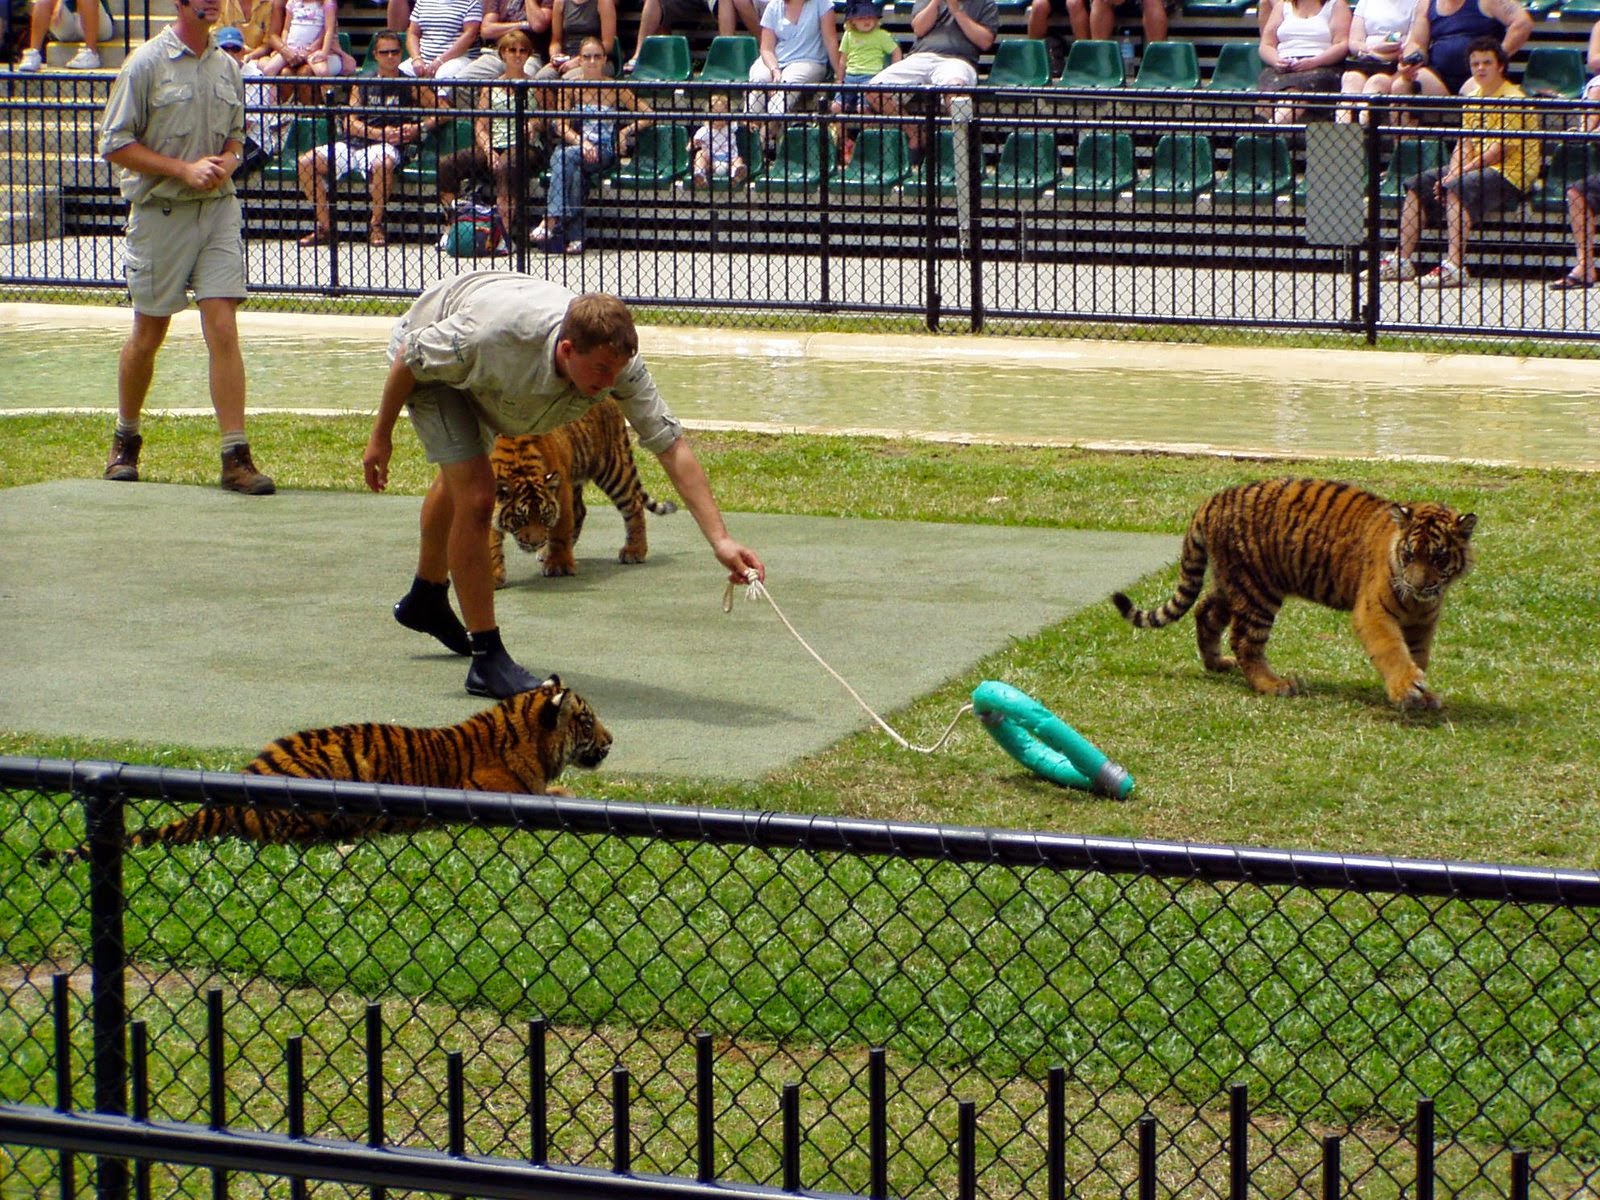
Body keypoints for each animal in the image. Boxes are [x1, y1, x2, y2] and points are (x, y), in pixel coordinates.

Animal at [490, 398, 677, 588]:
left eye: (544, 517)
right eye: (521, 519)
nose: (536, 542)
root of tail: (610, 398)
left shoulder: (561, 490)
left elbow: (560, 529)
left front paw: (559, 566)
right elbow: (492, 544)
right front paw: (494, 576)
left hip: (612, 468)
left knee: (634, 504)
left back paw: (634, 551)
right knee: (581, 511)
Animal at [1112, 478, 1476, 710]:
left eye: (1439, 558)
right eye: (1410, 555)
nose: (1418, 585)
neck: (1417, 601)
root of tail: (1212, 501)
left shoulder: (1422, 622)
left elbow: (1418, 655)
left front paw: (1422, 693)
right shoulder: (1373, 611)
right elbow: (1392, 650)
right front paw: (1406, 688)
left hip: (1231, 584)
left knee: (1205, 612)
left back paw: (1216, 663)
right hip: (1258, 591)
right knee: (1244, 641)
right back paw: (1273, 685)